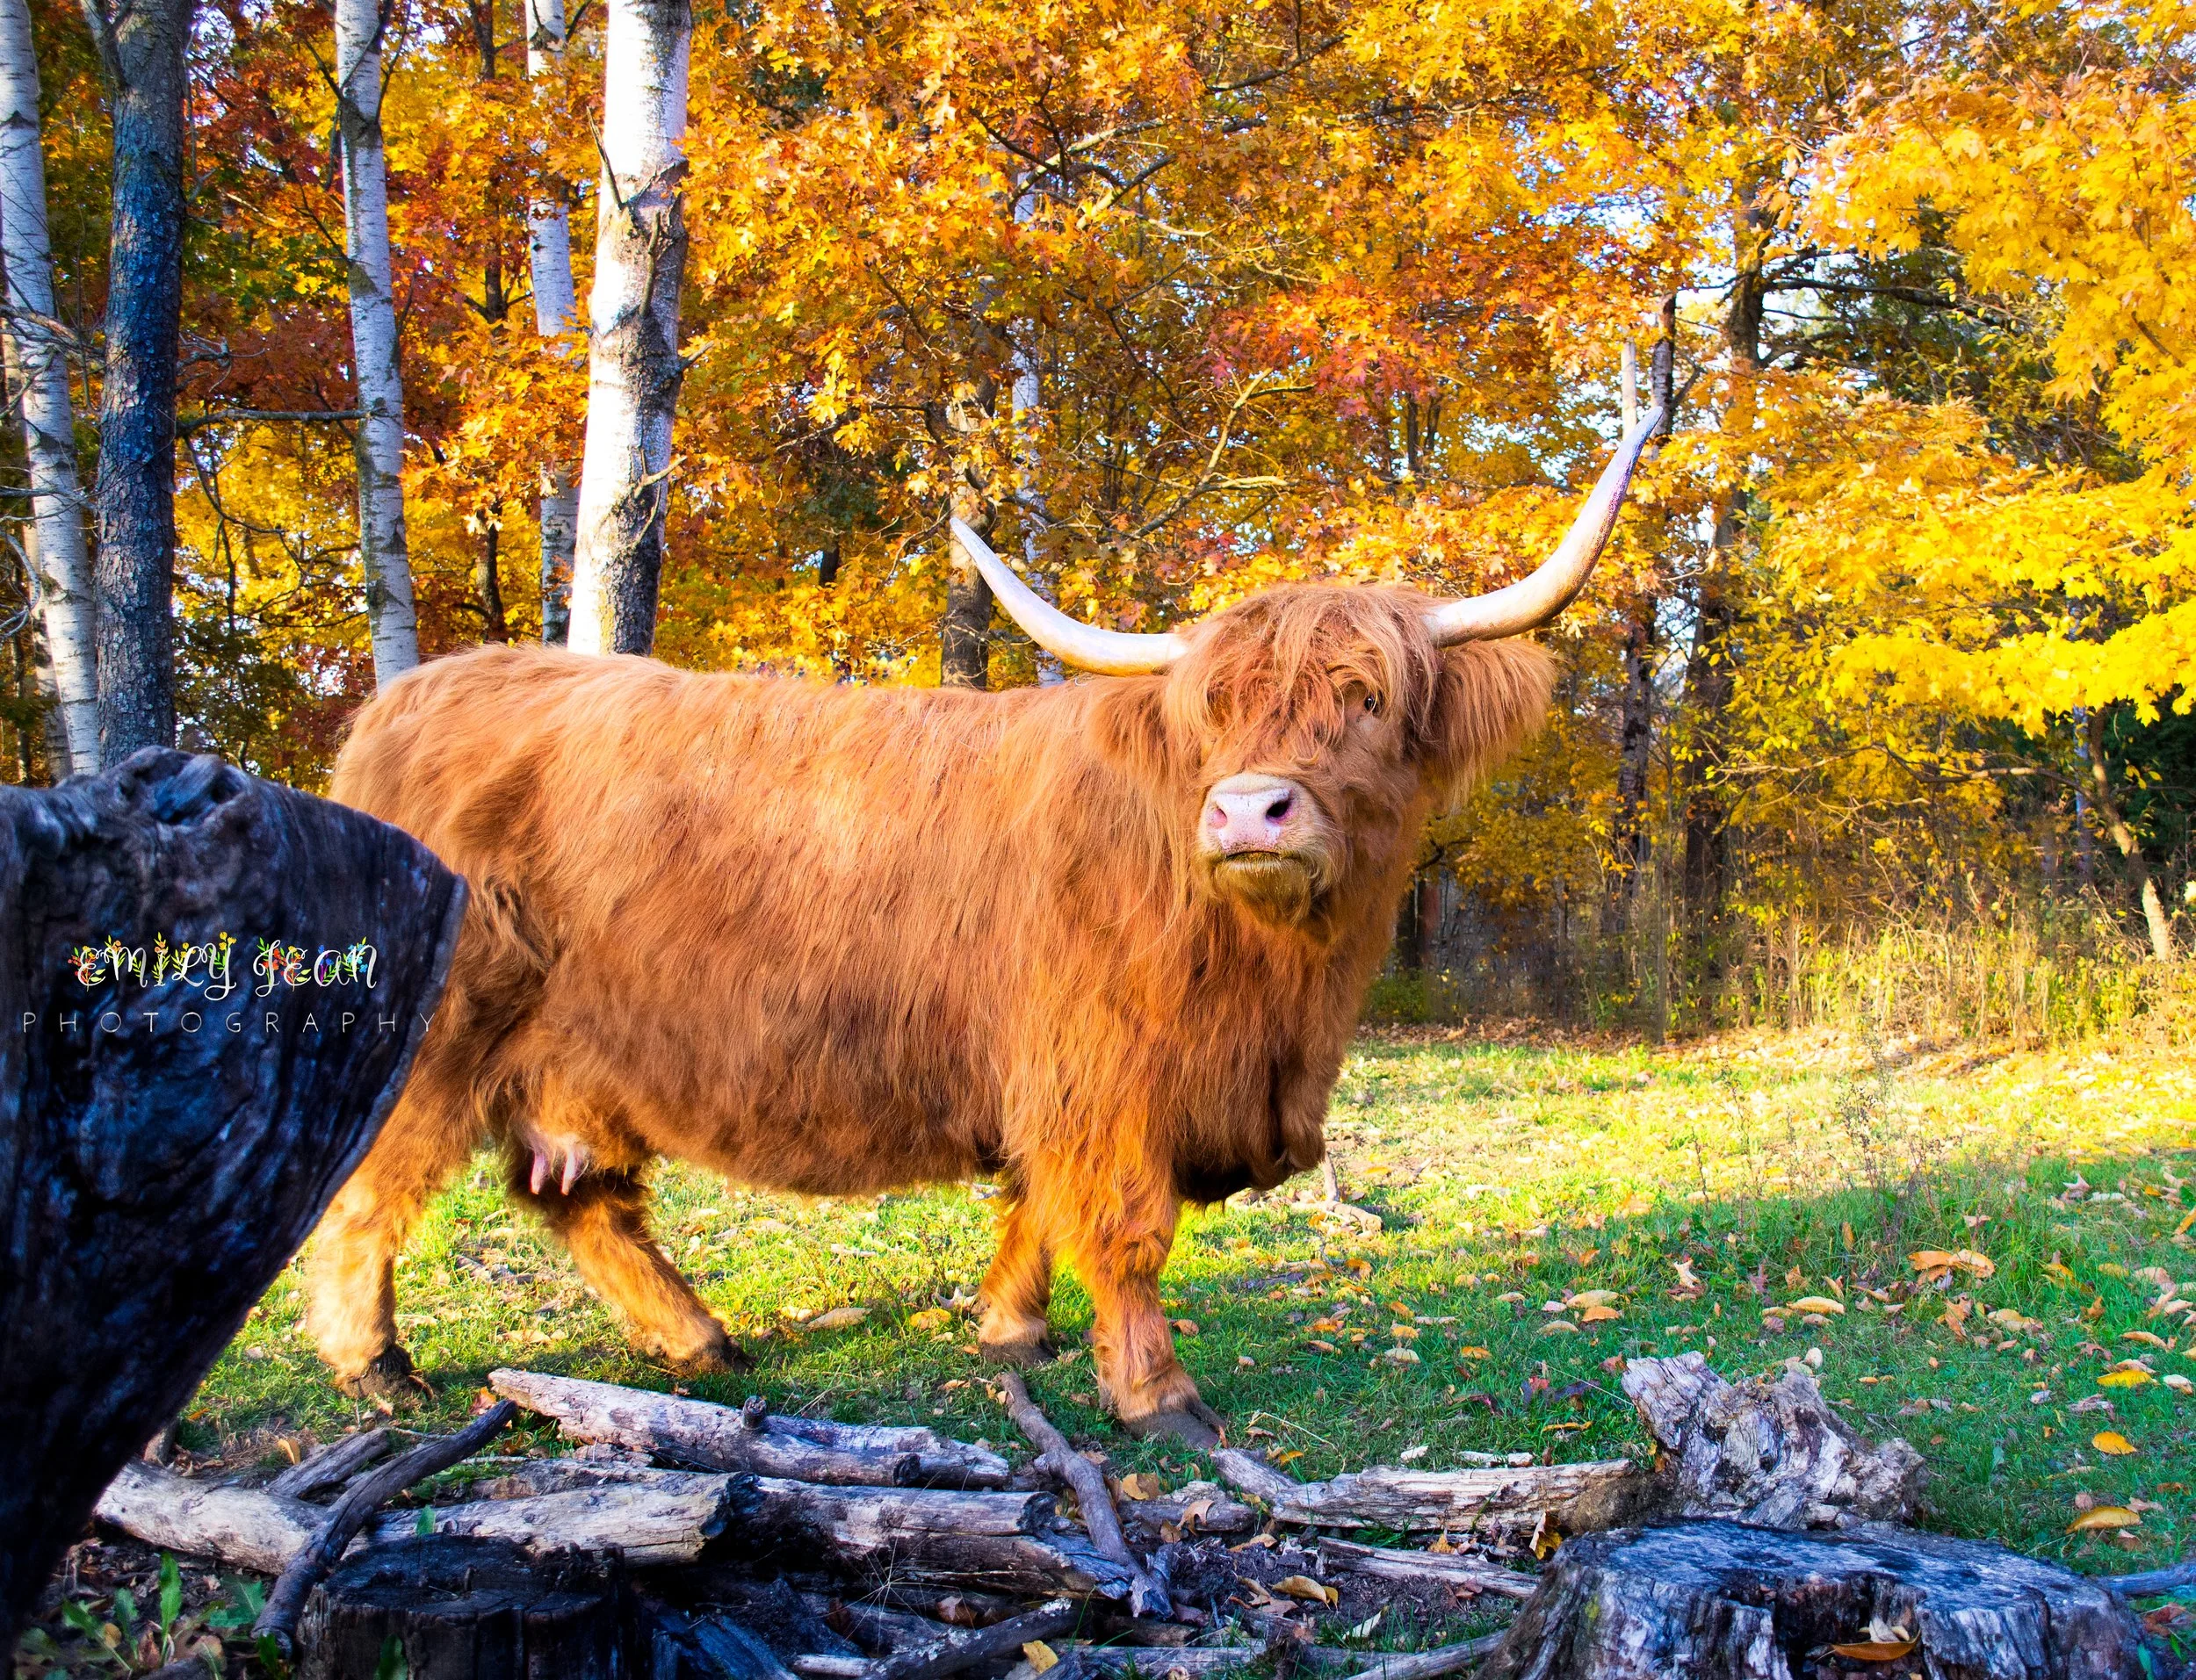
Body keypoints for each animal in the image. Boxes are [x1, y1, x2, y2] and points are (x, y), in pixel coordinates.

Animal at [304, 393, 1664, 1445]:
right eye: (1214, 711)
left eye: (1369, 697)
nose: (1246, 810)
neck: (1279, 993)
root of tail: (406, 702)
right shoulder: (1101, 1075)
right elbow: (1121, 1228)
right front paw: (1159, 1394)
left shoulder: (1057, 1080)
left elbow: (1030, 1204)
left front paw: (1011, 1331)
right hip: (430, 1030)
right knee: (373, 1183)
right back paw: (379, 1370)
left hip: (576, 1059)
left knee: (581, 1199)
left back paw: (700, 1343)